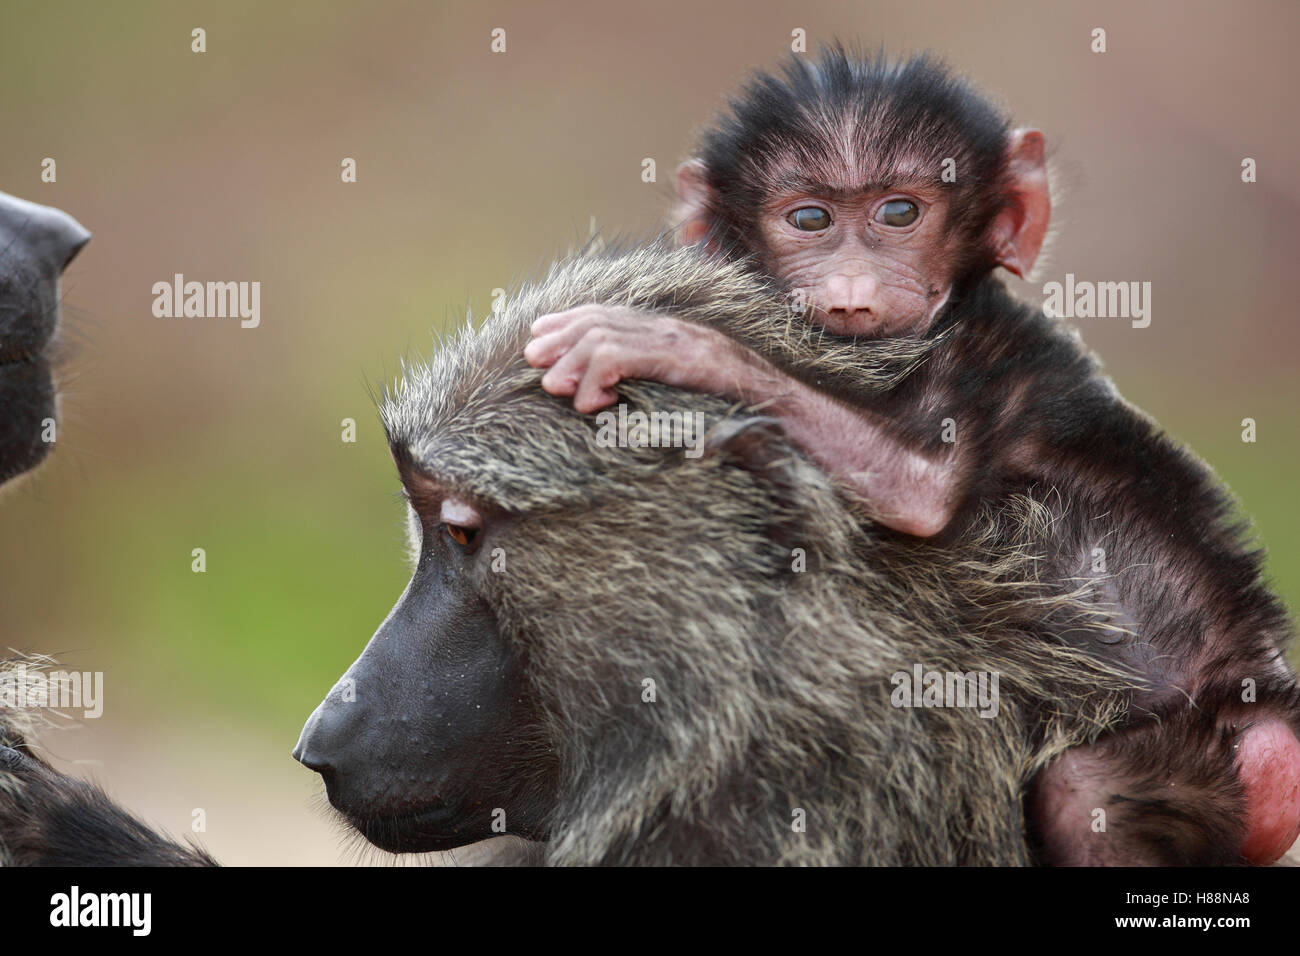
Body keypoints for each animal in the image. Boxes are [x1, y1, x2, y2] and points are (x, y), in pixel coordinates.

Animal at [522, 49, 1300, 864]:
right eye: (809, 218)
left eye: (900, 213)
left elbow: (920, 491)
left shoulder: (983, 356)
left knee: (1083, 793)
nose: (854, 292)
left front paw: (659, 340)